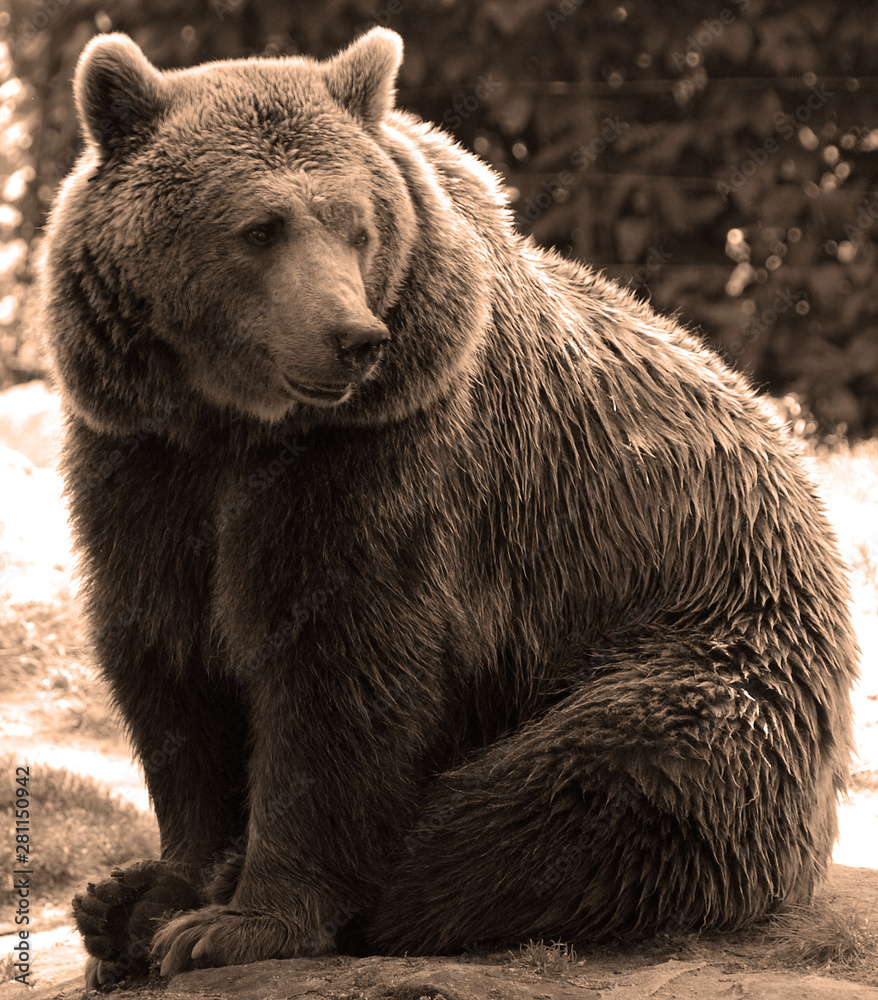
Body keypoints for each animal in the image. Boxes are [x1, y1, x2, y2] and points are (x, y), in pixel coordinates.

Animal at [42, 26, 857, 990]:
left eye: (356, 226)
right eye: (260, 227)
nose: (353, 338)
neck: (237, 424)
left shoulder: (388, 459)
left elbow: (341, 673)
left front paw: (236, 921)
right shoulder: (142, 460)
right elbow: (169, 661)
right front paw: (166, 897)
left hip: (702, 644)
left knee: (580, 782)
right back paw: (109, 900)